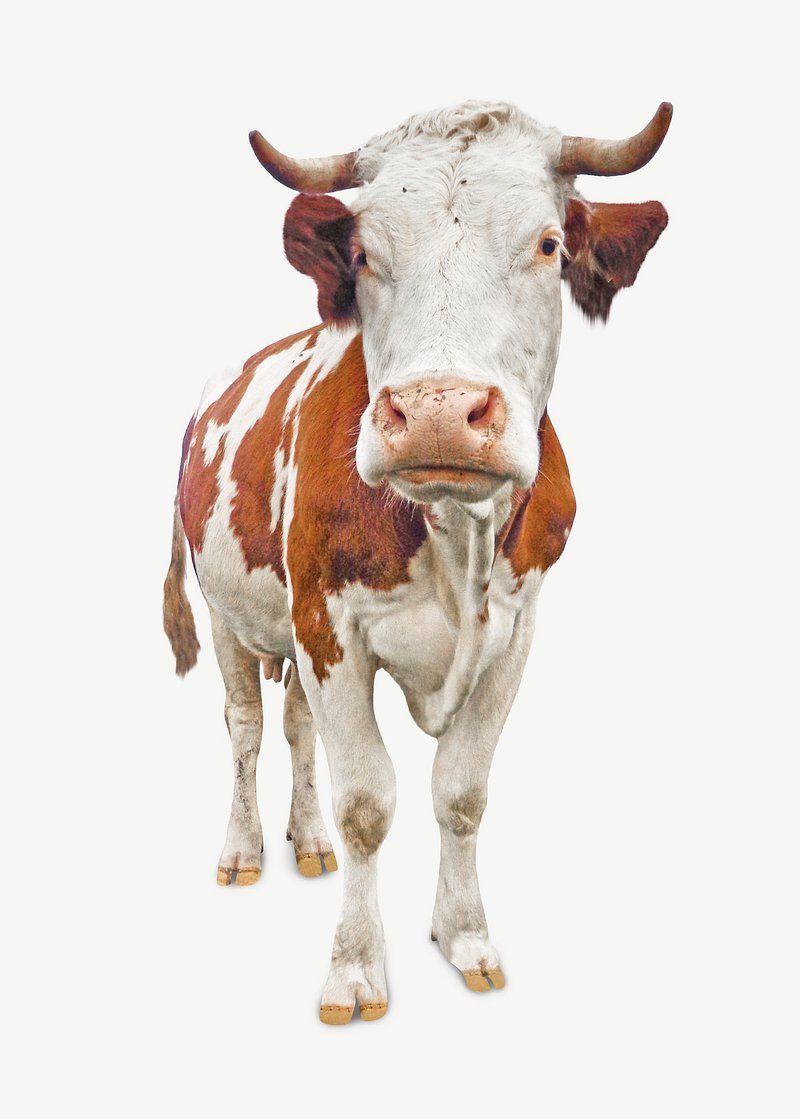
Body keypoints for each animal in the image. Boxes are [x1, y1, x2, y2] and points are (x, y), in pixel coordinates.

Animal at [164, 100, 671, 1024]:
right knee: (246, 726)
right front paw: (355, 969)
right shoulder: (331, 629)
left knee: (294, 727)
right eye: (364, 253)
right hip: (226, 616)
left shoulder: (514, 635)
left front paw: (465, 939)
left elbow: (460, 794)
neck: (453, 533)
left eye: (551, 243)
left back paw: (307, 839)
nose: (437, 411)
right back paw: (245, 848)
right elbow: (368, 802)